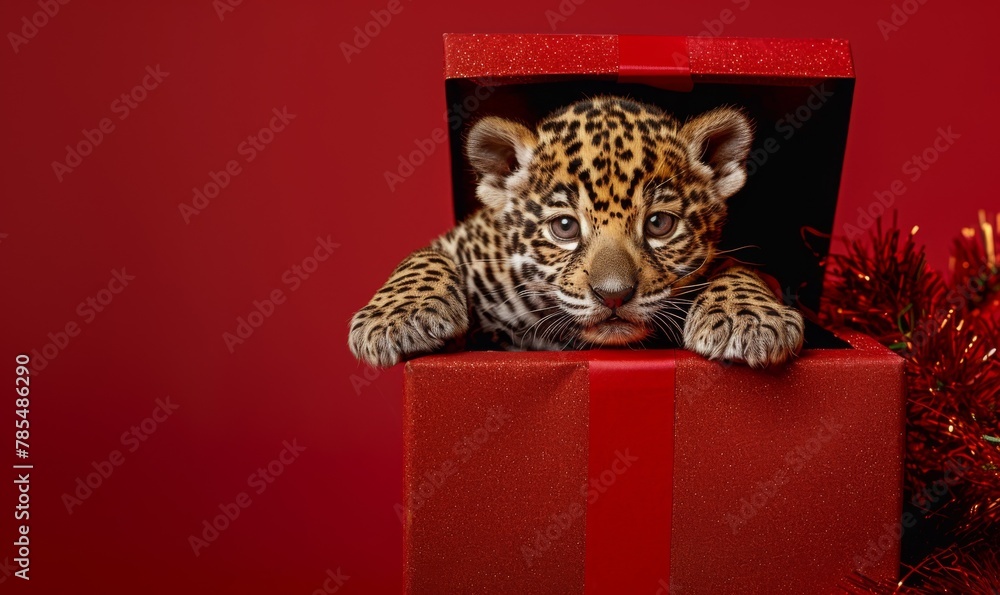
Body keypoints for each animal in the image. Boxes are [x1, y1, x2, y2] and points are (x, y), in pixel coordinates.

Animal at [349, 96, 804, 369]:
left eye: (659, 224)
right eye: (564, 227)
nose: (613, 295)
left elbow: (740, 266)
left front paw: (747, 319)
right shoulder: (468, 242)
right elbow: (424, 254)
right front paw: (396, 320)